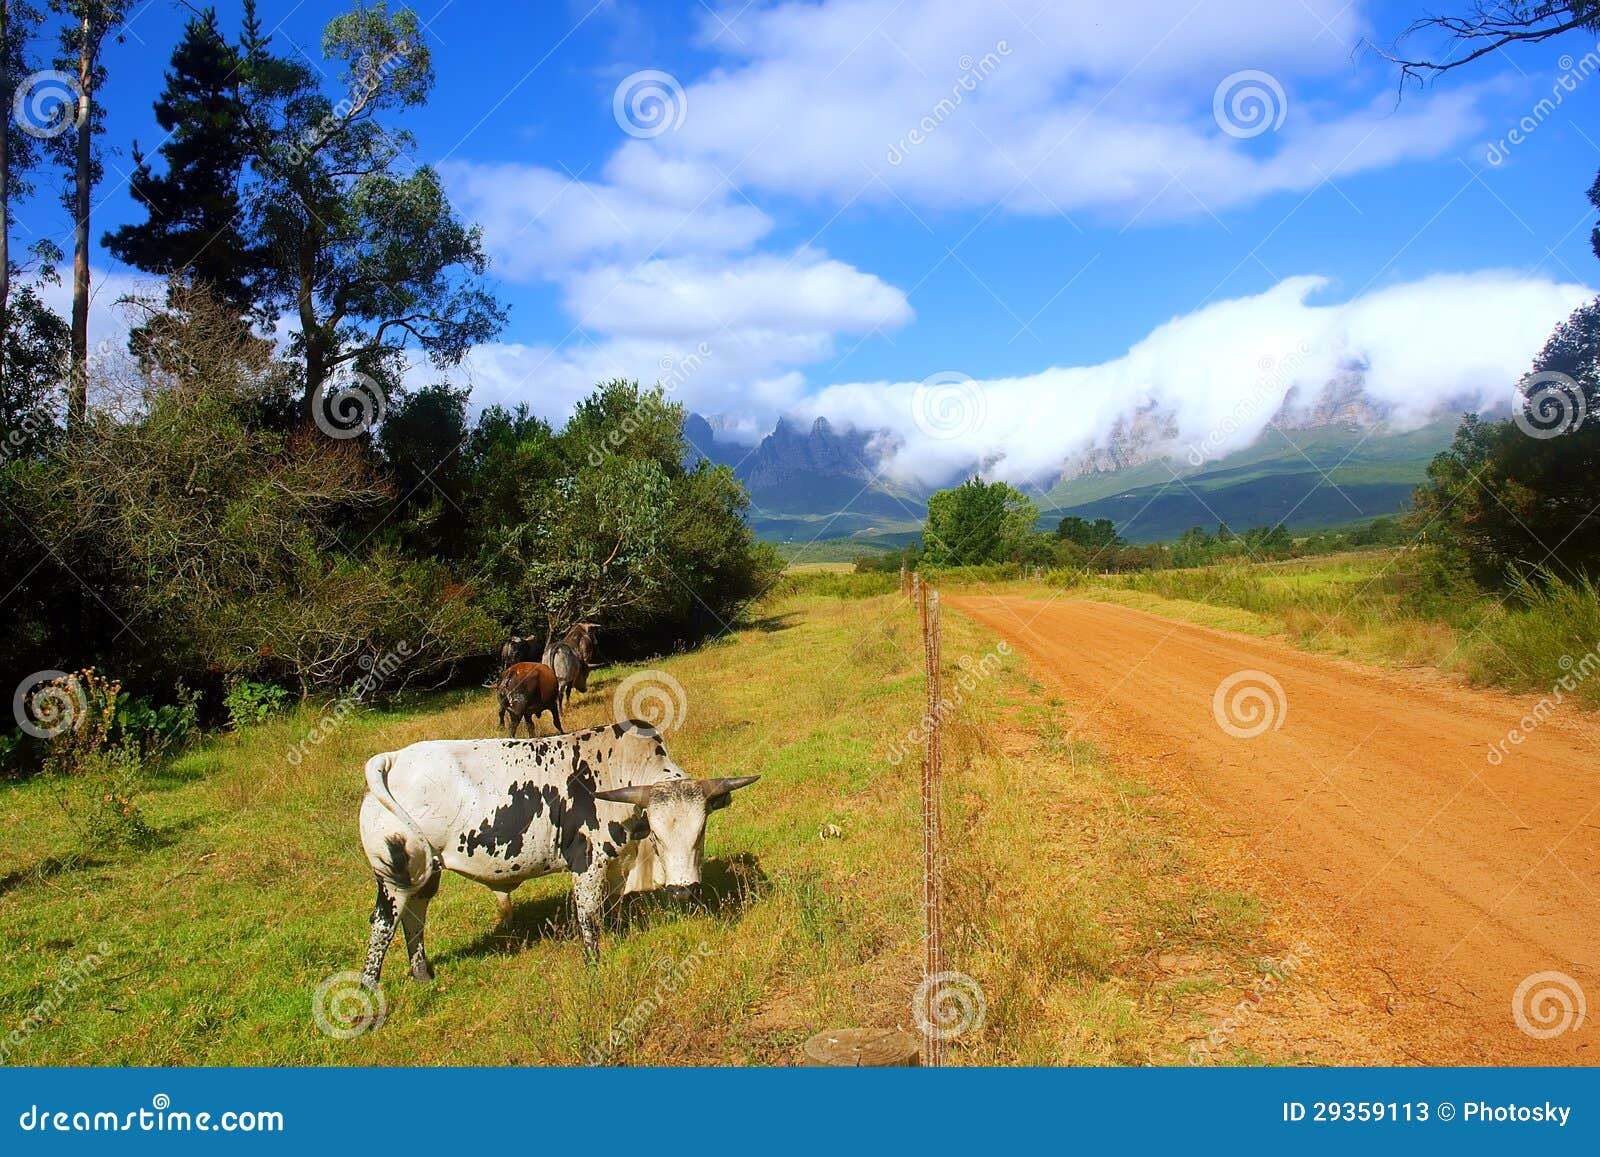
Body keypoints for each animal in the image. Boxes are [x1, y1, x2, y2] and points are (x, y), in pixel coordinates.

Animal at [357, 721, 758, 983]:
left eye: (701, 830)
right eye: (656, 837)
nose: (683, 891)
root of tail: (392, 759)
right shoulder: (588, 862)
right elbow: (589, 917)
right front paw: (594, 964)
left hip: (424, 873)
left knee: (414, 917)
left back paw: (422, 975)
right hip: (394, 878)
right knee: (383, 924)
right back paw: (369, 990)